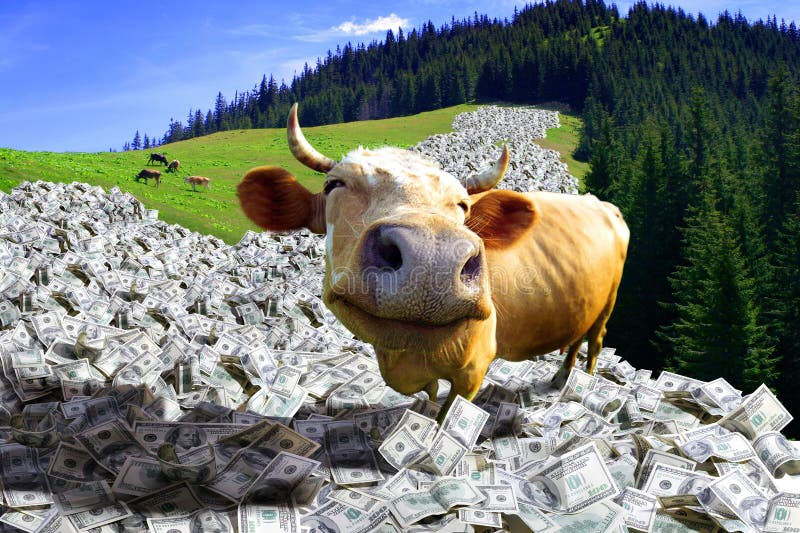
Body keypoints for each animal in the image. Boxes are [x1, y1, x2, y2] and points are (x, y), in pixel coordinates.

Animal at [238, 104, 629, 415]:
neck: (405, 356)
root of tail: (602, 204)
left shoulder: (474, 370)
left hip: (609, 302)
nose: (432, 260)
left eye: (463, 205)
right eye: (334, 184)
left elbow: (447, 417)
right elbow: (429, 395)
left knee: (595, 340)